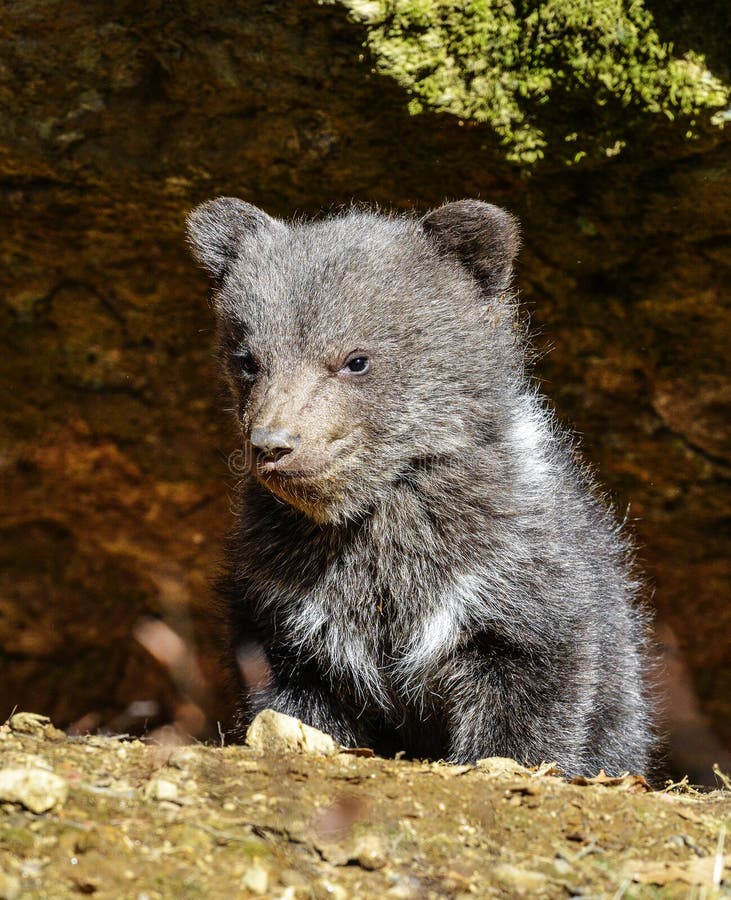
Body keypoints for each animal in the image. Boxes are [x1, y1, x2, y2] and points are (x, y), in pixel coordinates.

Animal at [186, 197, 653, 777]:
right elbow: (292, 692)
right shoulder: (286, 602)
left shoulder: (511, 582)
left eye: (355, 358)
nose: (274, 445)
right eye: (249, 359)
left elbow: (533, 686)